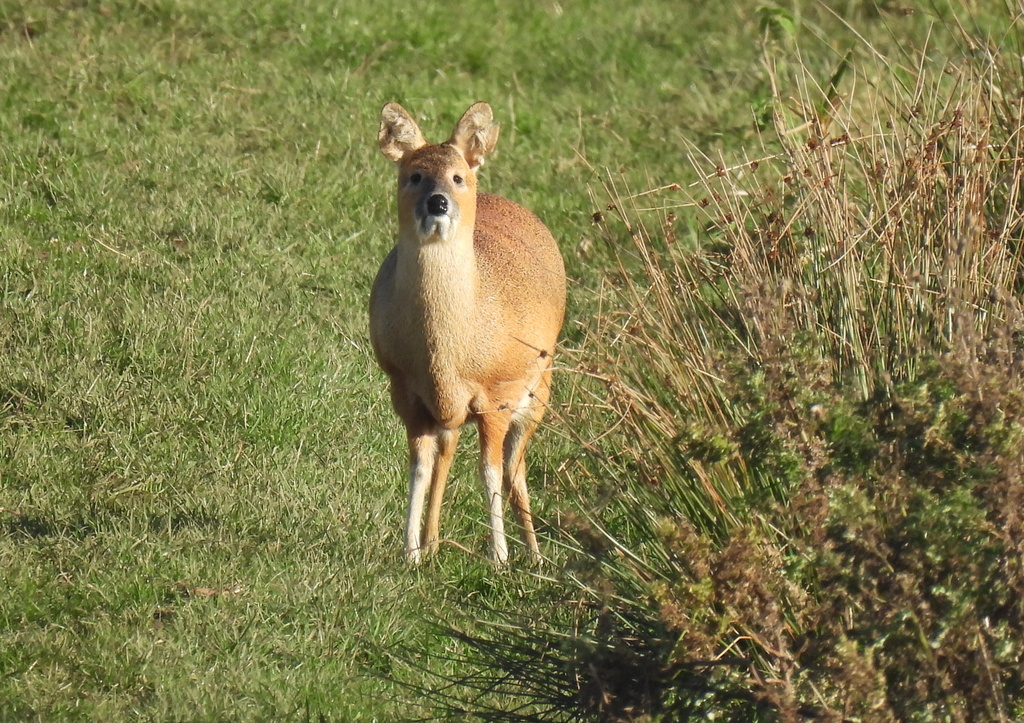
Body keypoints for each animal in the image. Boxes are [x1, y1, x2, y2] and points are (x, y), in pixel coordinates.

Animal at [369, 102, 566, 566]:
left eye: (458, 177)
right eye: (414, 175)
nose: (438, 202)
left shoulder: (498, 393)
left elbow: (489, 471)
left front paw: (499, 557)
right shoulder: (406, 393)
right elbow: (419, 468)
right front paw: (410, 553)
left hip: (539, 388)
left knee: (515, 466)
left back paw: (535, 555)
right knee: (451, 449)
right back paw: (434, 542)